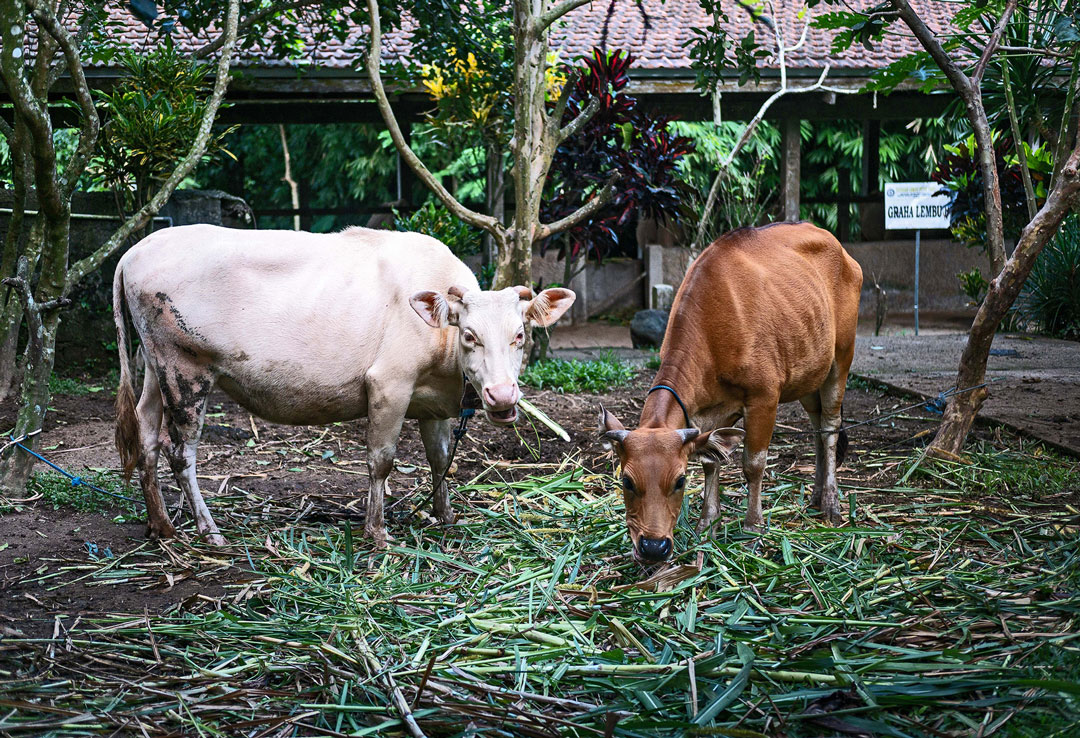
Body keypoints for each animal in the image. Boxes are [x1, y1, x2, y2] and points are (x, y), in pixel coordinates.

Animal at [113, 224, 574, 548]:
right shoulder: (389, 384)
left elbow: (441, 459)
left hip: (156, 367)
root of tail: (134, 251)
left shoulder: (433, 403)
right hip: (186, 371)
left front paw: (445, 517)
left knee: (147, 435)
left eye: (520, 335)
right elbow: (381, 461)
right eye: (470, 335)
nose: (502, 395)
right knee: (180, 453)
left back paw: (161, 527)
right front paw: (377, 532)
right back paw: (209, 532)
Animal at [599, 222, 862, 563]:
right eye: (626, 480)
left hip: (841, 358)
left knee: (830, 426)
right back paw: (816, 497)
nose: (653, 547)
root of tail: (842, 252)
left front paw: (752, 530)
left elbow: (753, 464)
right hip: (808, 374)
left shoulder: (764, 398)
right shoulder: (703, 412)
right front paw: (706, 525)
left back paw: (830, 504)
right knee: (817, 427)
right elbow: (711, 461)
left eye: (680, 481)